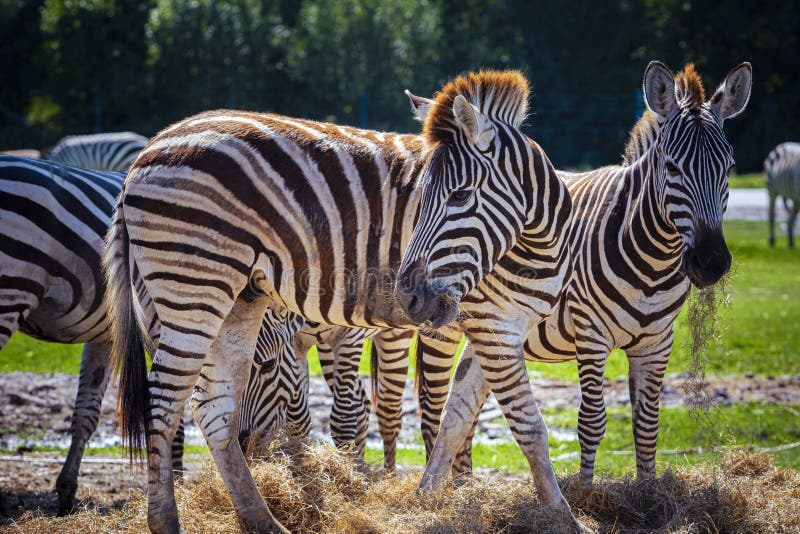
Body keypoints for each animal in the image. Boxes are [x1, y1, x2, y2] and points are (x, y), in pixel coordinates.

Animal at [105, 69, 575, 533]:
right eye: (421, 197)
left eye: (459, 196)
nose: (408, 296)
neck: (533, 238)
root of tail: (146, 151)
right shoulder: (491, 324)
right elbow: (528, 425)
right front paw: (563, 516)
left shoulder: (501, 327)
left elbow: (455, 420)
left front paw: (425, 500)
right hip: (193, 286)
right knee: (163, 404)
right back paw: (167, 522)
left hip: (237, 297)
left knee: (213, 407)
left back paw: (262, 520)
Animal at [415, 61, 752, 485]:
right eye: (672, 167)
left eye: (730, 168)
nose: (711, 262)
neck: (653, 264)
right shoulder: (590, 335)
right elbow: (592, 421)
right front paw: (586, 490)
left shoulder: (657, 341)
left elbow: (647, 424)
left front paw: (648, 490)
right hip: (443, 325)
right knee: (432, 406)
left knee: (465, 411)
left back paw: (463, 483)